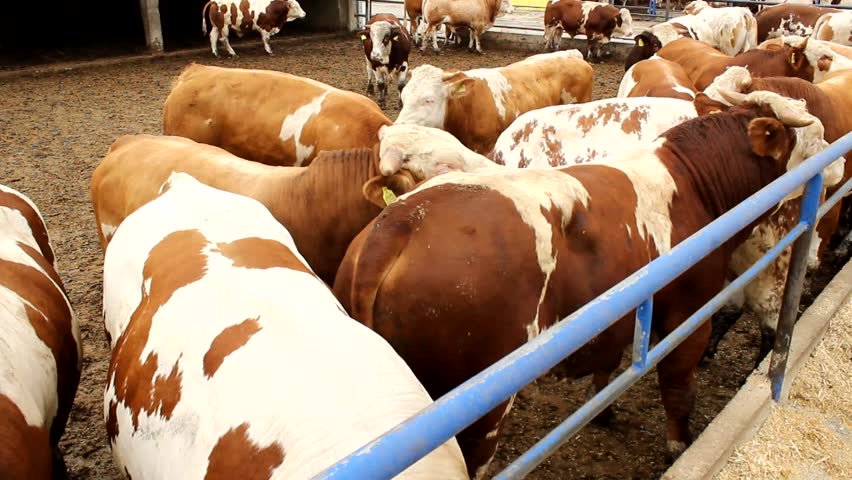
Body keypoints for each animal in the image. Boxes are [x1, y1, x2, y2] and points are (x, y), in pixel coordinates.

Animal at [334, 91, 831, 479]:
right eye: (809, 138)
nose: (833, 161)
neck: (689, 184)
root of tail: (400, 222)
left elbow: (606, 366)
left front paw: (603, 409)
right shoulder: (690, 315)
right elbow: (678, 390)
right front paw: (679, 445)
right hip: (479, 414)